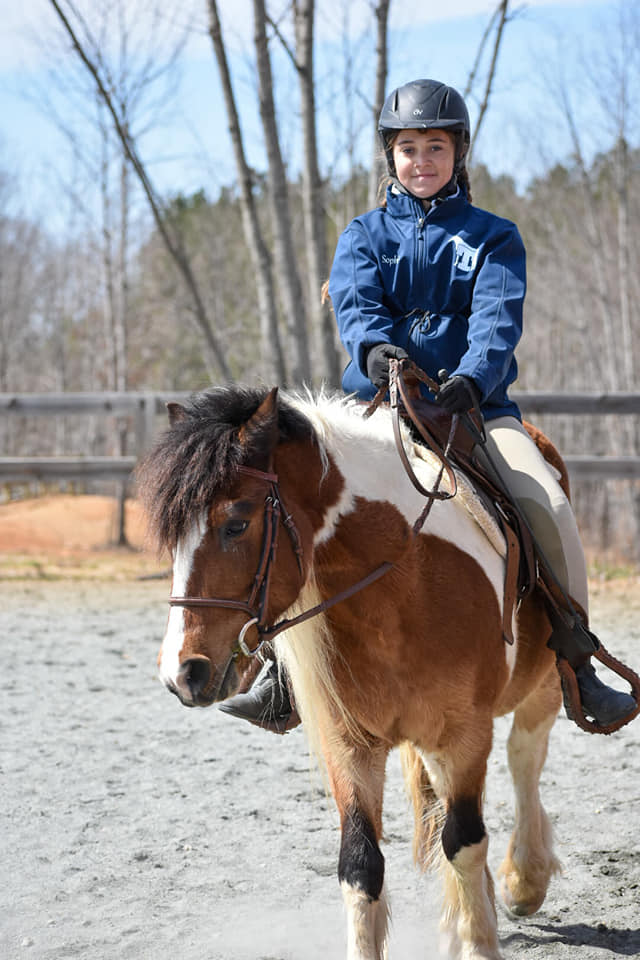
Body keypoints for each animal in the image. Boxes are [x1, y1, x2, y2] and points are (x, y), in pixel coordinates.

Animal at [137, 383, 565, 960]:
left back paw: (526, 878)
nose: (182, 672)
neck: (403, 590)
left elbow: (465, 842)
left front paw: (480, 940)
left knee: (524, 760)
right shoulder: (350, 744)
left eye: (236, 523)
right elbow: (361, 866)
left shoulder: (465, 735)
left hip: (544, 688)